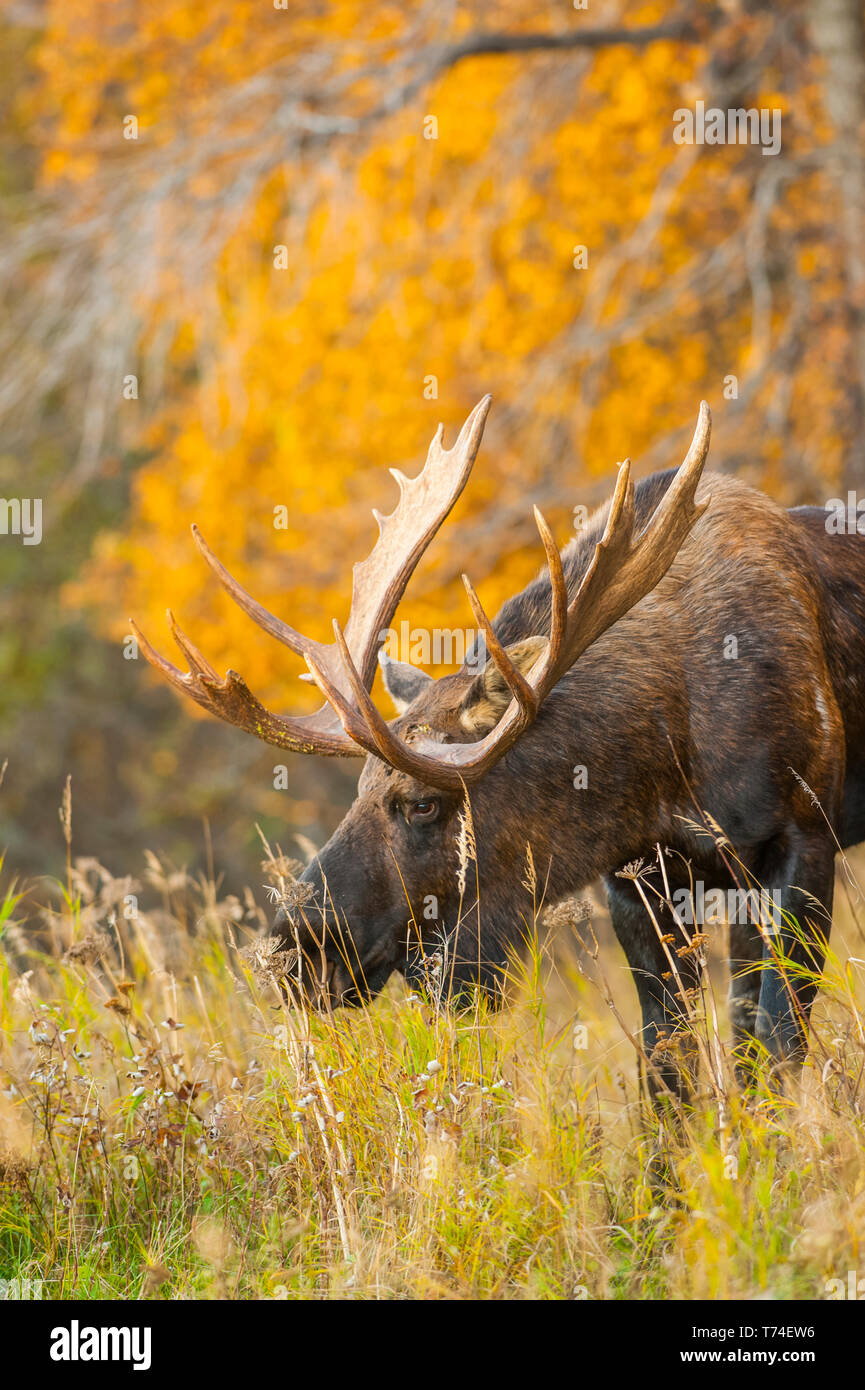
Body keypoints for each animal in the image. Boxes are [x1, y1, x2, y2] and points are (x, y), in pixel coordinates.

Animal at [132, 395, 865, 1094]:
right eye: (358, 787)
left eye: (423, 803)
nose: (292, 956)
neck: (665, 762)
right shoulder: (637, 882)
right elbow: (668, 1072)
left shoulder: (800, 840)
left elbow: (772, 1049)